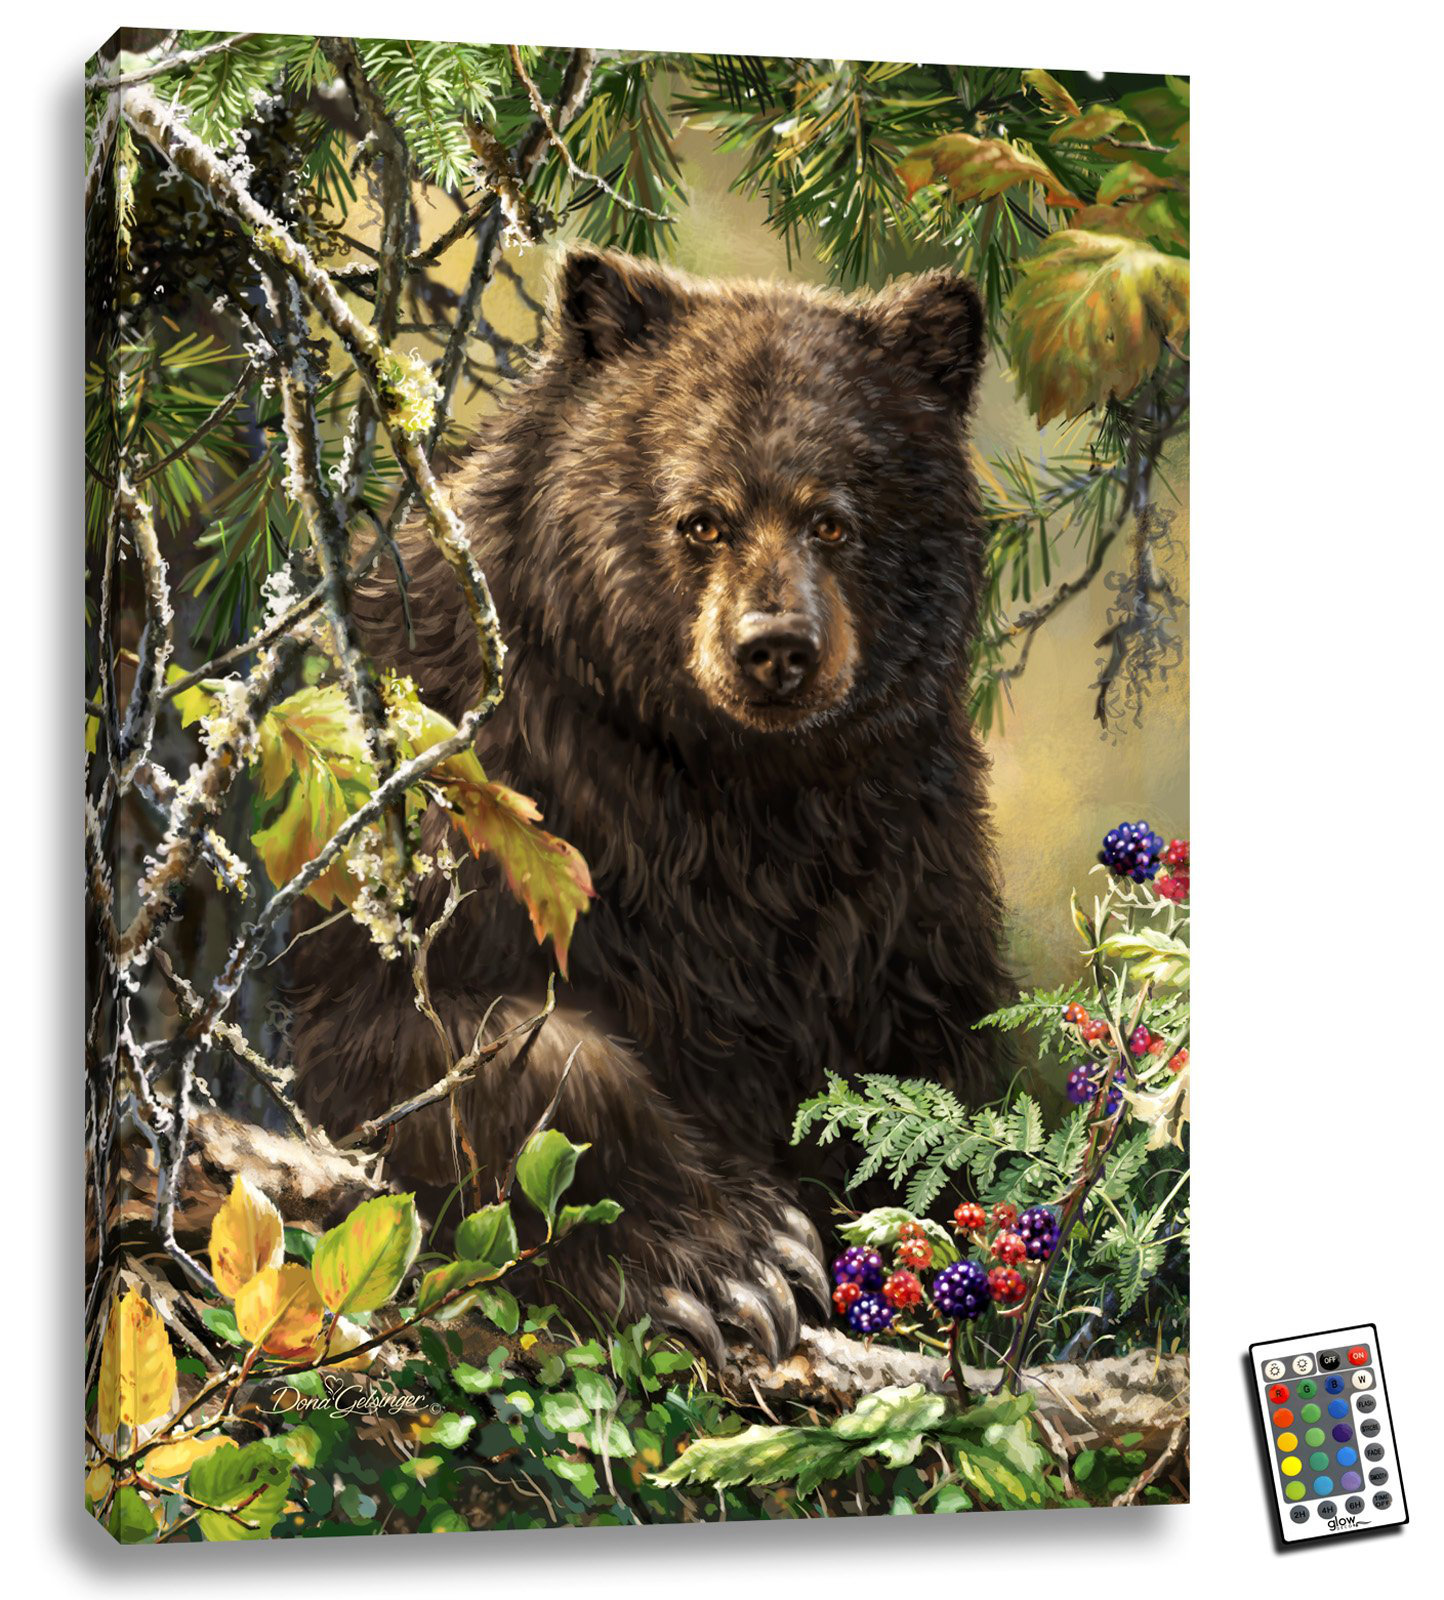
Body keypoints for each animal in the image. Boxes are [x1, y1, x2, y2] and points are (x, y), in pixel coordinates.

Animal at [287, 247, 1011, 1366]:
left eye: (834, 520)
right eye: (701, 517)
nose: (775, 648)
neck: (732, 784)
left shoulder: (901, 857)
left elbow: (941, 1062)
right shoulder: (472, 809)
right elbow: (433, 1045)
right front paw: (733, 1264)